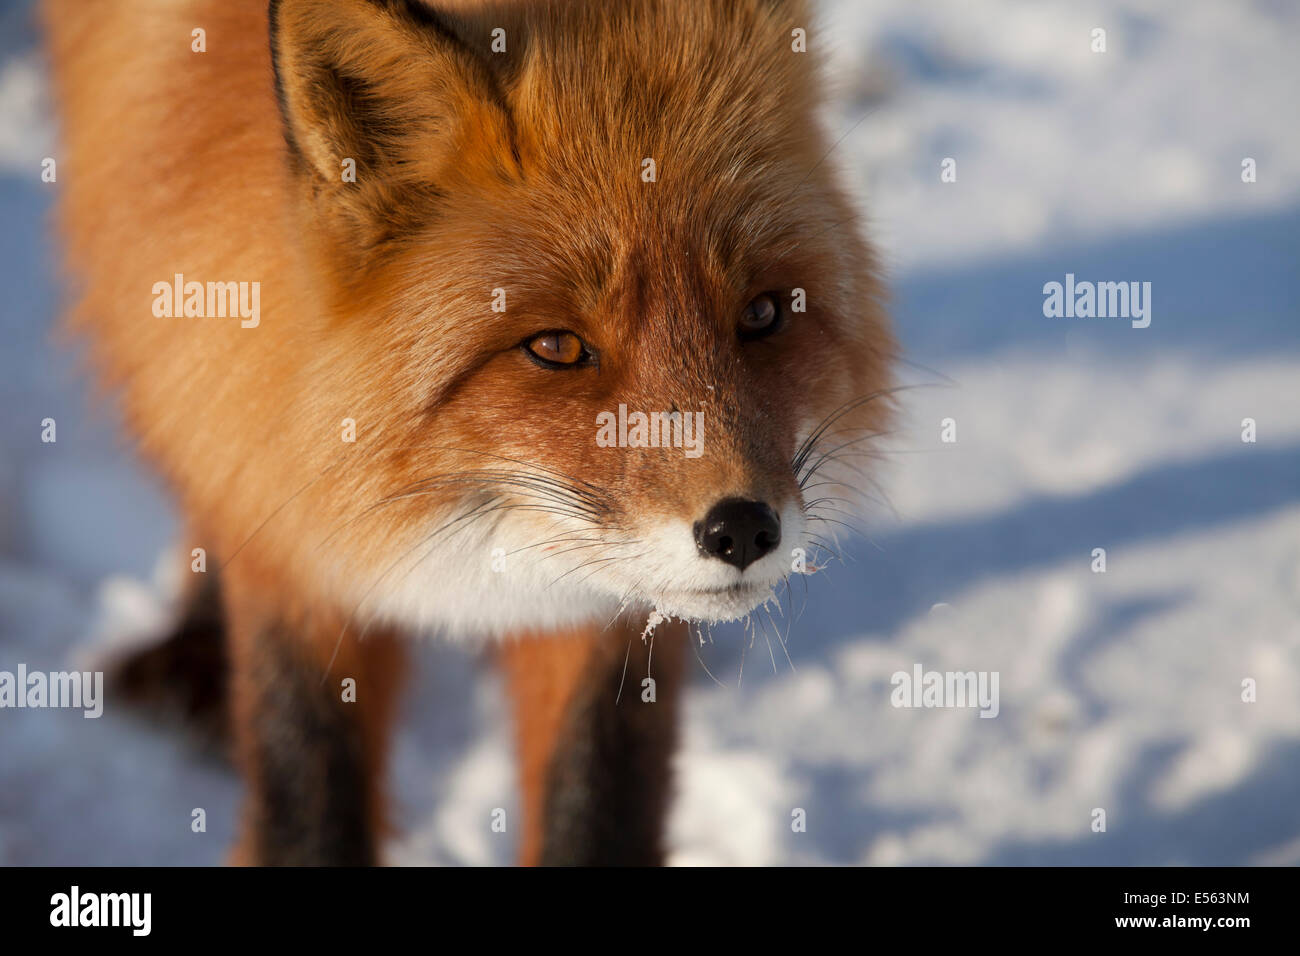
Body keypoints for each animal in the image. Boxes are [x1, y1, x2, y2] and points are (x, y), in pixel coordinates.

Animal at [41, 0, 895, 865]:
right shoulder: (278, 483)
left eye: (762, 313)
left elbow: (598, 789)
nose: (743, 530)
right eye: (556, 347)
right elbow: (304, 773)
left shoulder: (600, 587)